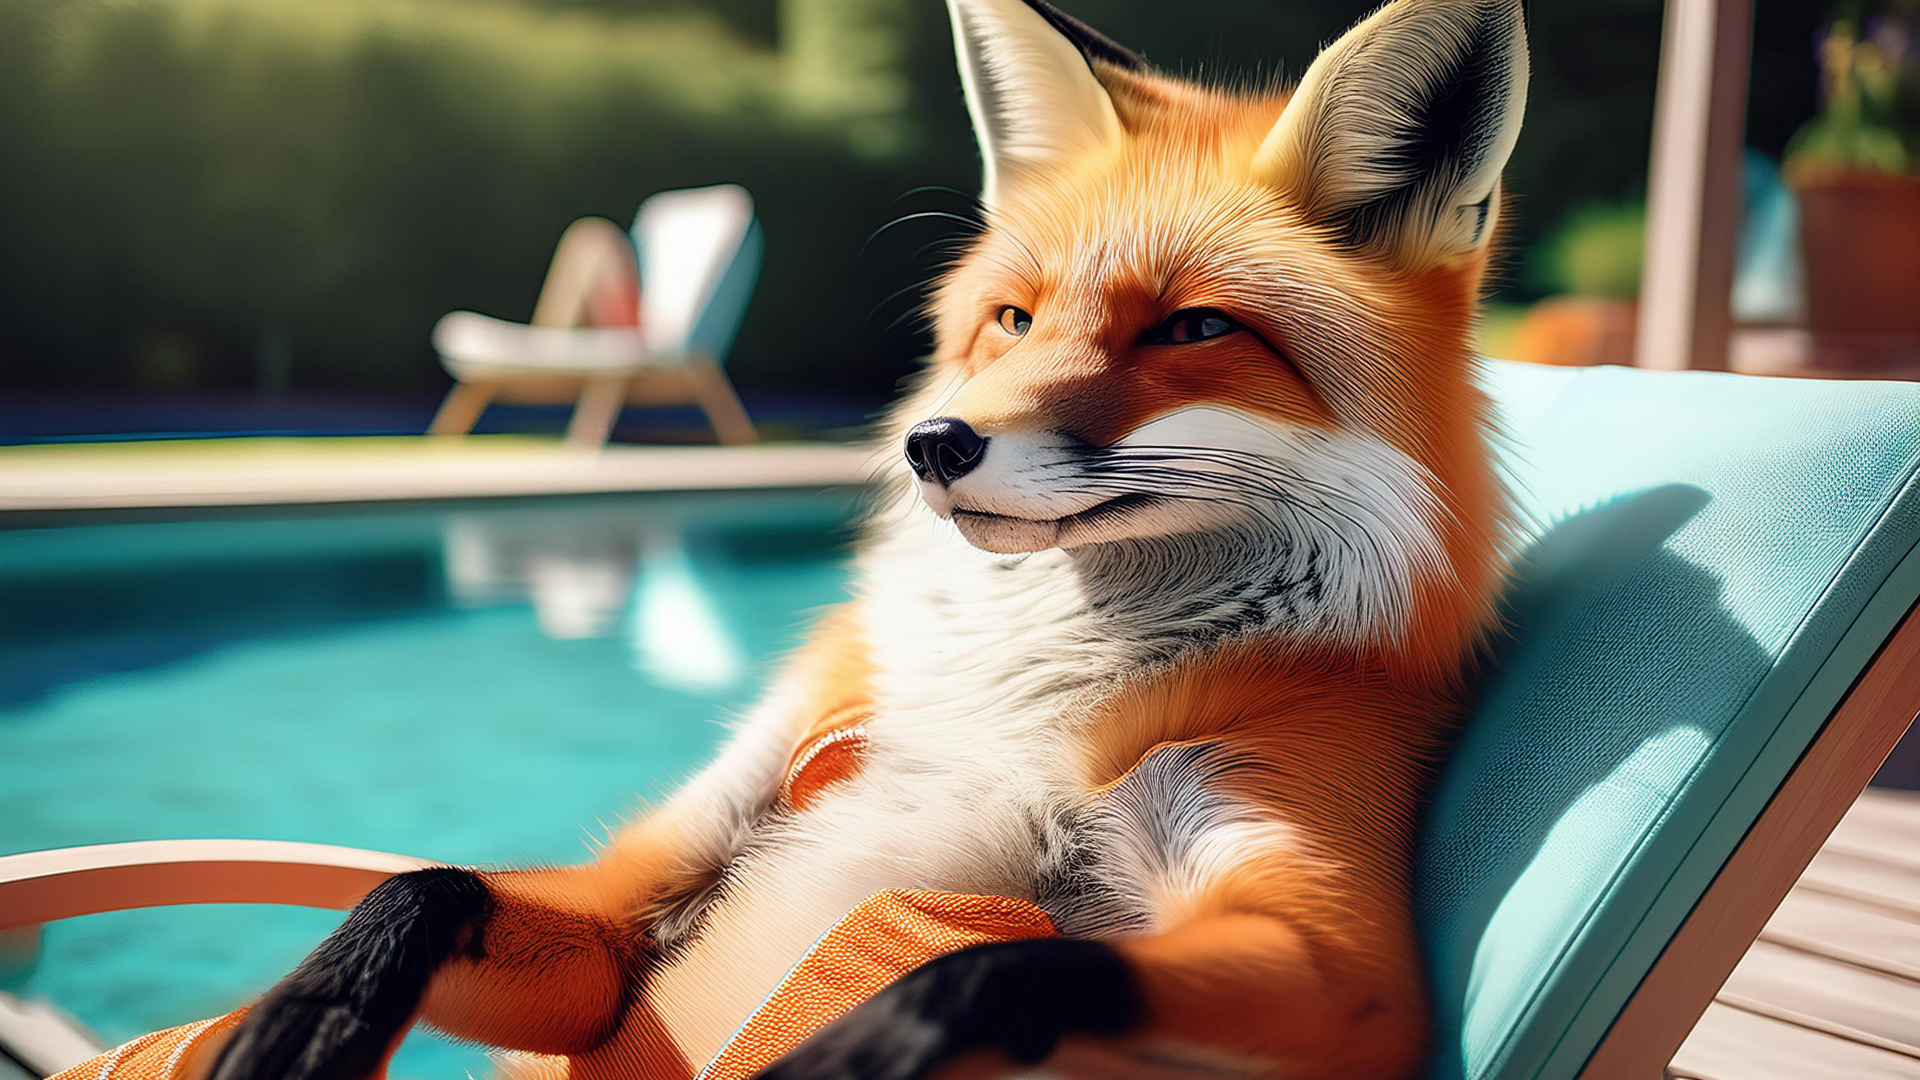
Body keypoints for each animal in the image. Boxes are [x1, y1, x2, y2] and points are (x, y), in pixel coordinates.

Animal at [210, 1, 1527, 1078]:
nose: (934, 445)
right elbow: (418, 891)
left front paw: (844, 1052)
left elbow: (985, 967)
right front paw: (305, 1019)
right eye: (1013, 320)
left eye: (1196, 328)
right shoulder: (642, 905)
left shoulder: (1345, 972)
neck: (1014, 699)